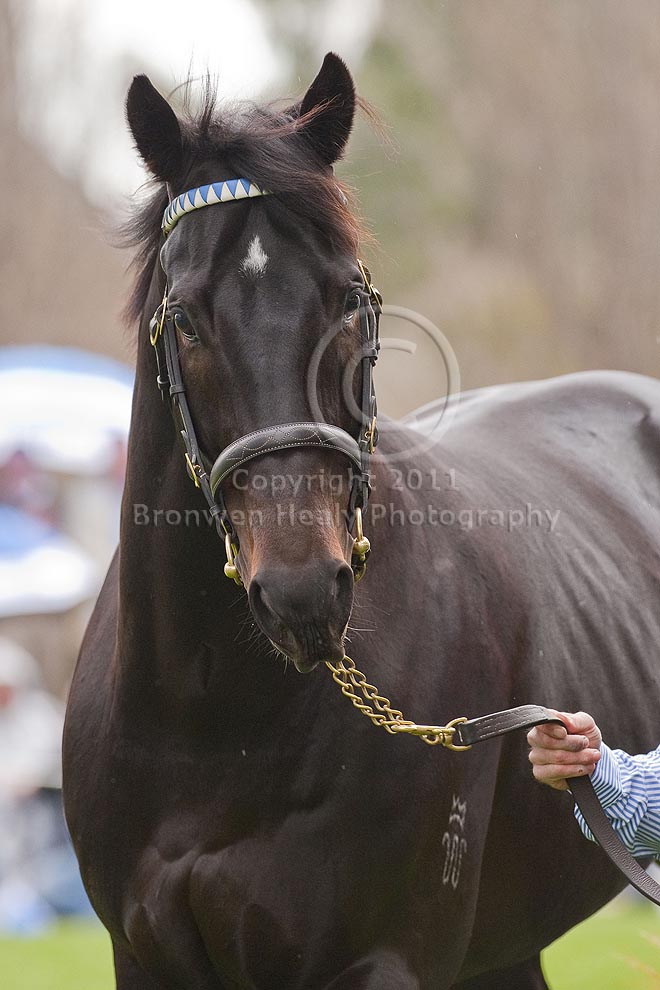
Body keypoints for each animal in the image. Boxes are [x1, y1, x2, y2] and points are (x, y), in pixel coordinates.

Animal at [63, 53, 660, 989]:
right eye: (184, 317)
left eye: (350, 298)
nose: (303, 591)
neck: (209, 731)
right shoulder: (143, 957)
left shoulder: (381, 959)